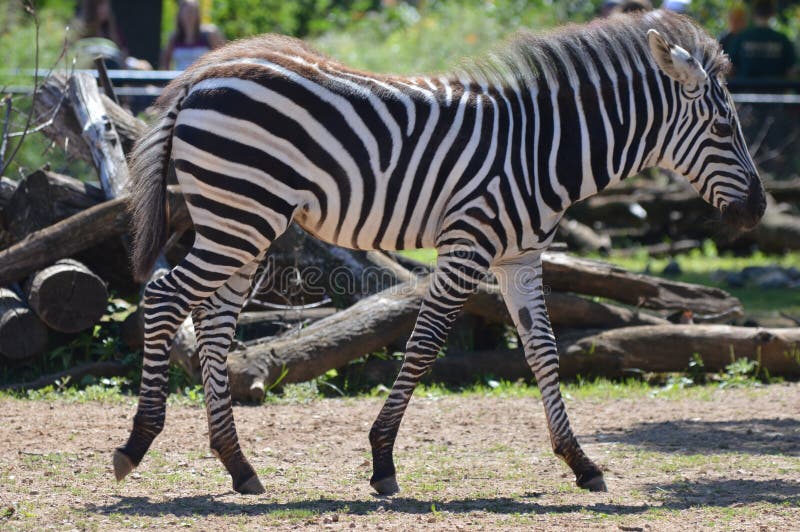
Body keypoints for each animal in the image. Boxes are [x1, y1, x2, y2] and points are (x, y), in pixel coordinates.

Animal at [115, 9, 765, 496]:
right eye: (722, 128)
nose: (758, 210)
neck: (543, 150)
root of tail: (204, 75)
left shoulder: (519, 258)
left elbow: (545, 354)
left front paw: (581, 462)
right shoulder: (467, 246)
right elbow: (425, 346)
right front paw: (382, 462)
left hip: (242, 222)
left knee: (214, 319)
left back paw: (238, 465)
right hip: (242, 215)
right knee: (165, 296)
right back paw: (137, 443)